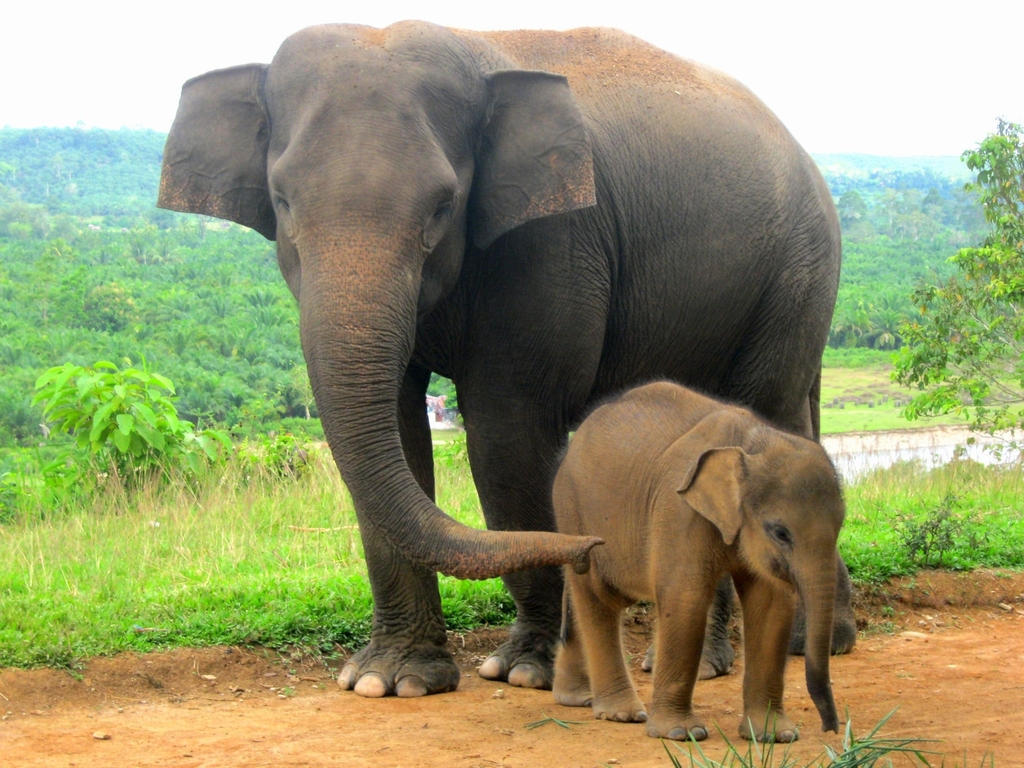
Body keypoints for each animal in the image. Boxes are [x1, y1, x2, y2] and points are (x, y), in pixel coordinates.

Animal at [157, 21, 852, 700]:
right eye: (282, 201)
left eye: (443, 205)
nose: (592, 547)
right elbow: (398, 432)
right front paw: (391, 680)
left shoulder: (551, 242)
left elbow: (506, 436)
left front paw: (528, 672)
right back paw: (800, 642)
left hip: (797, 273)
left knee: (763, 413)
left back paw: (727, 659)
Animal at [552, 381, 843, 742]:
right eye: (780, 533)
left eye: (841, 527)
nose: (831, 729)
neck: (750, 443)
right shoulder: (679, 510)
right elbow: (686, 600)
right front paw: (680, 734)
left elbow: (771, 606)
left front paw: (775, 737)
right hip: (572, 508)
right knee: (598, 596)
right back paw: (622, 714)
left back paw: (576, 699)